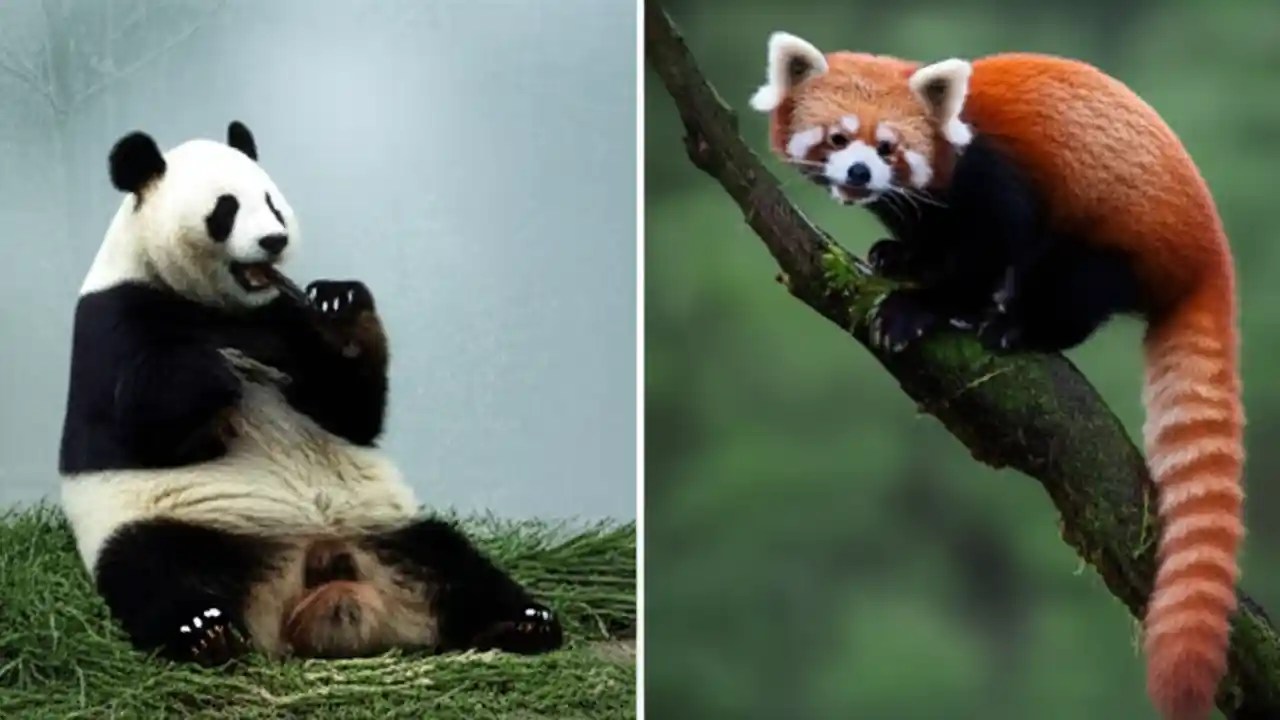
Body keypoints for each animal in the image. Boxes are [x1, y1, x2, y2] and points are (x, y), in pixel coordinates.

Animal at [57, 121, 564, 665]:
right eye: (226, 209)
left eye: (272, 203)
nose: (274, 240)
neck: (221, 307)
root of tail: (317, 563)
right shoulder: (115, 317)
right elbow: (144, 427)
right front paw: (213, 366)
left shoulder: (282, 316)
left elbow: (349, 411)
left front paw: (340, 306)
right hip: (175, 520)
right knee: (155, 567)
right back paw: (204, 630)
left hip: (388, 528)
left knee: (453, 560)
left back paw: (523, 620)